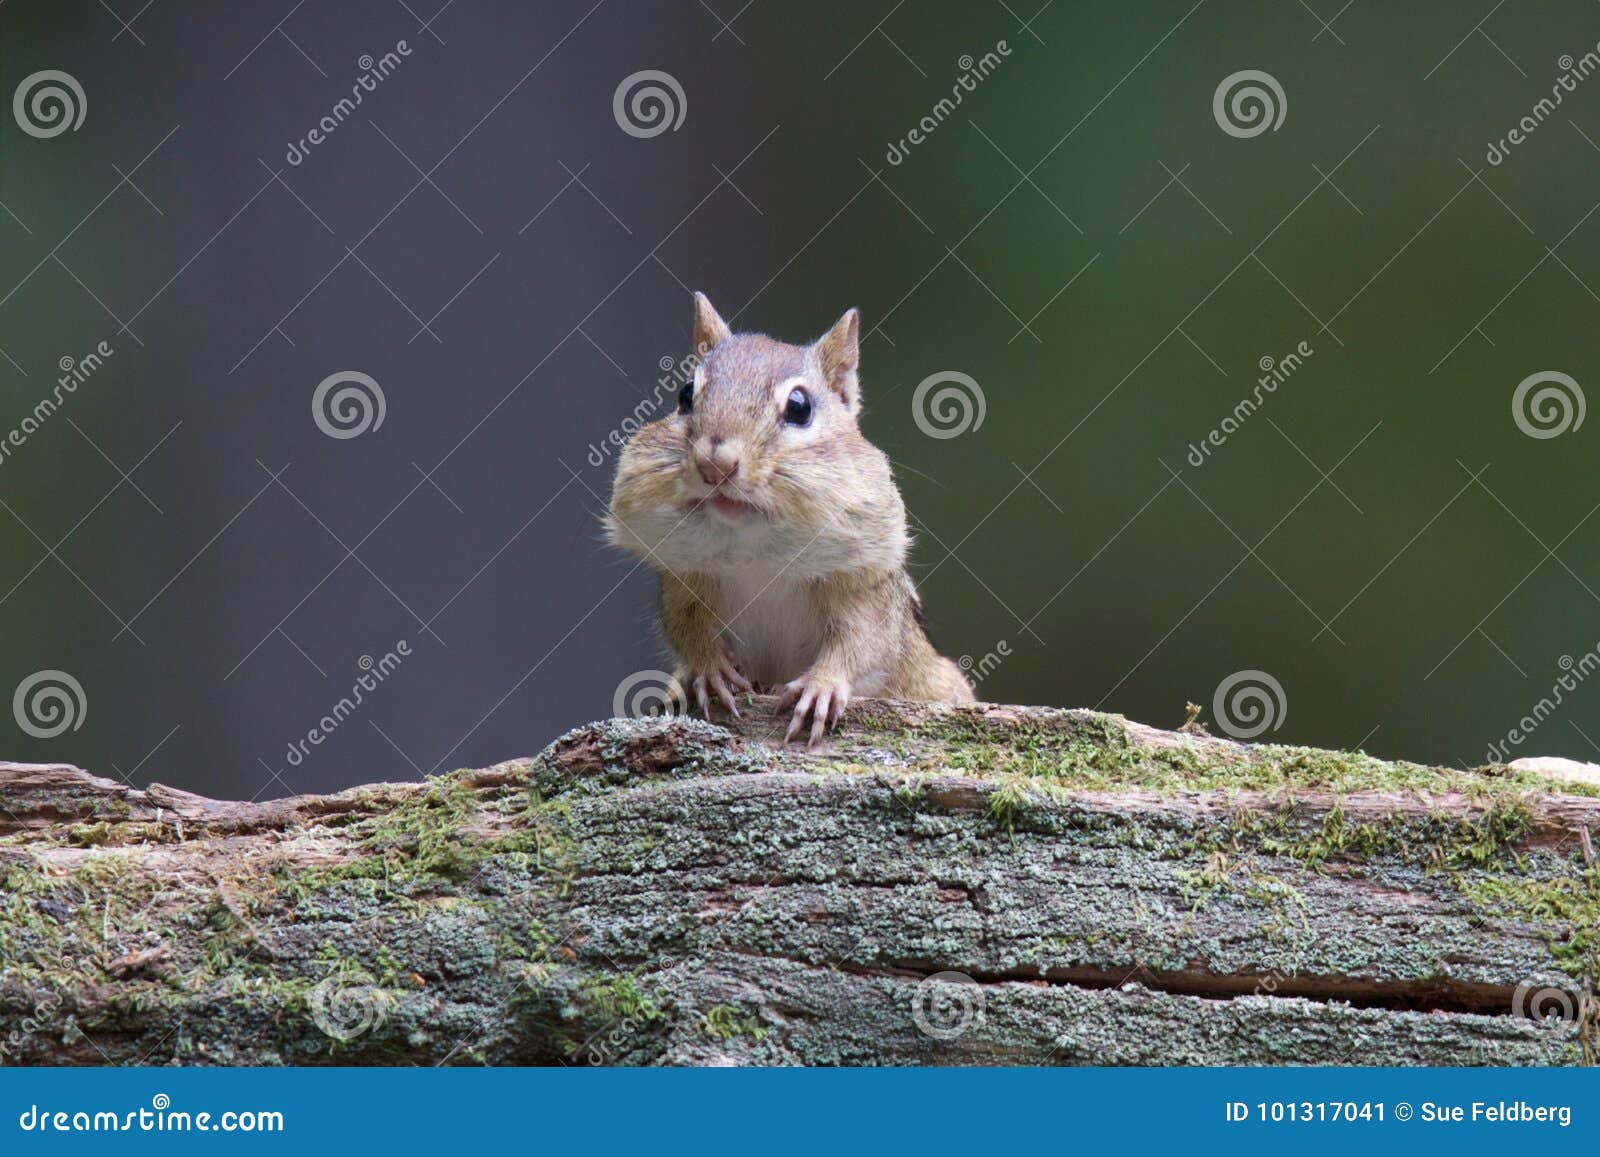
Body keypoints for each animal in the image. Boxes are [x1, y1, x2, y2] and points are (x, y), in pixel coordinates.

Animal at [607, 292, 974, 744]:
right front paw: (709, 671)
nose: (715, 465)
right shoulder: (683, 581)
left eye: (800, 407)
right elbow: (686, 628)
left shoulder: (860, 583)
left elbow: (861, 642)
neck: (752, 545)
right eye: (685, 394)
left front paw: (821, 687)